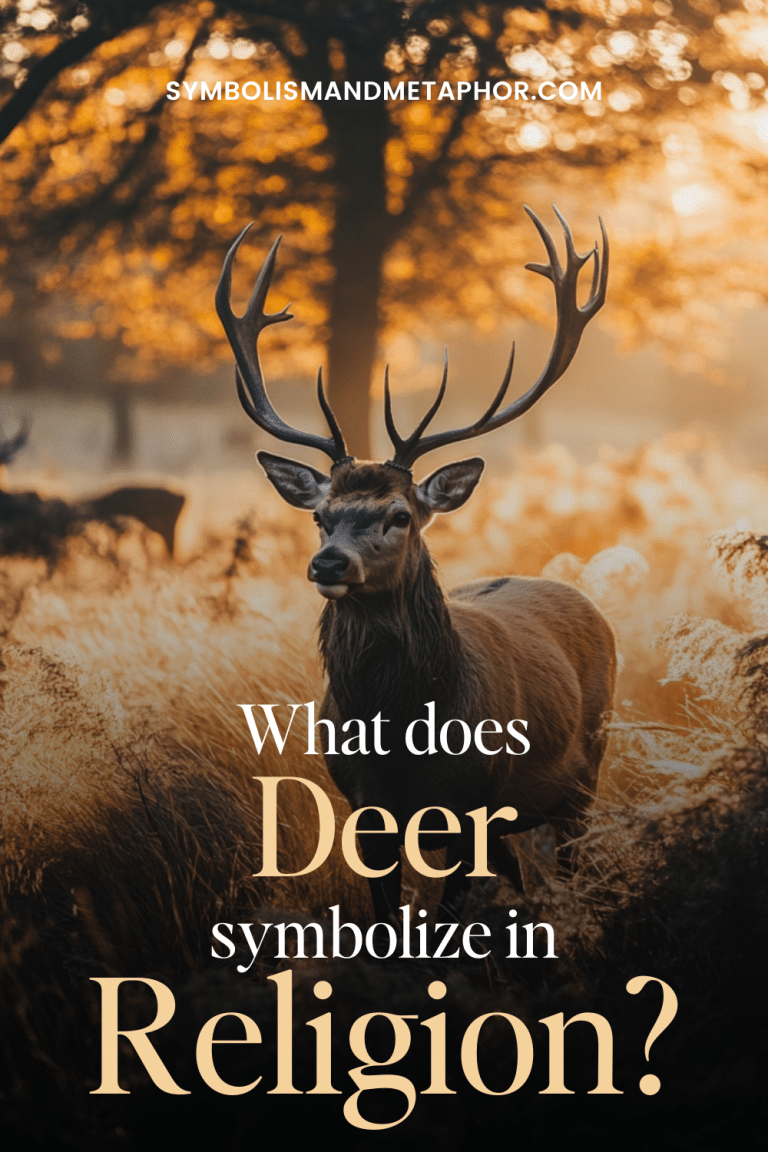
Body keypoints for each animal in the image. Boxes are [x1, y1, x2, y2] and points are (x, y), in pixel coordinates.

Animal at [217, 207, 616, 922]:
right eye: (320, 515)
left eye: (399, 515)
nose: (329, 563)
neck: (402, 732)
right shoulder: (362, 806)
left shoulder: (469, 804)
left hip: (585, 773)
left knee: (574, 869)